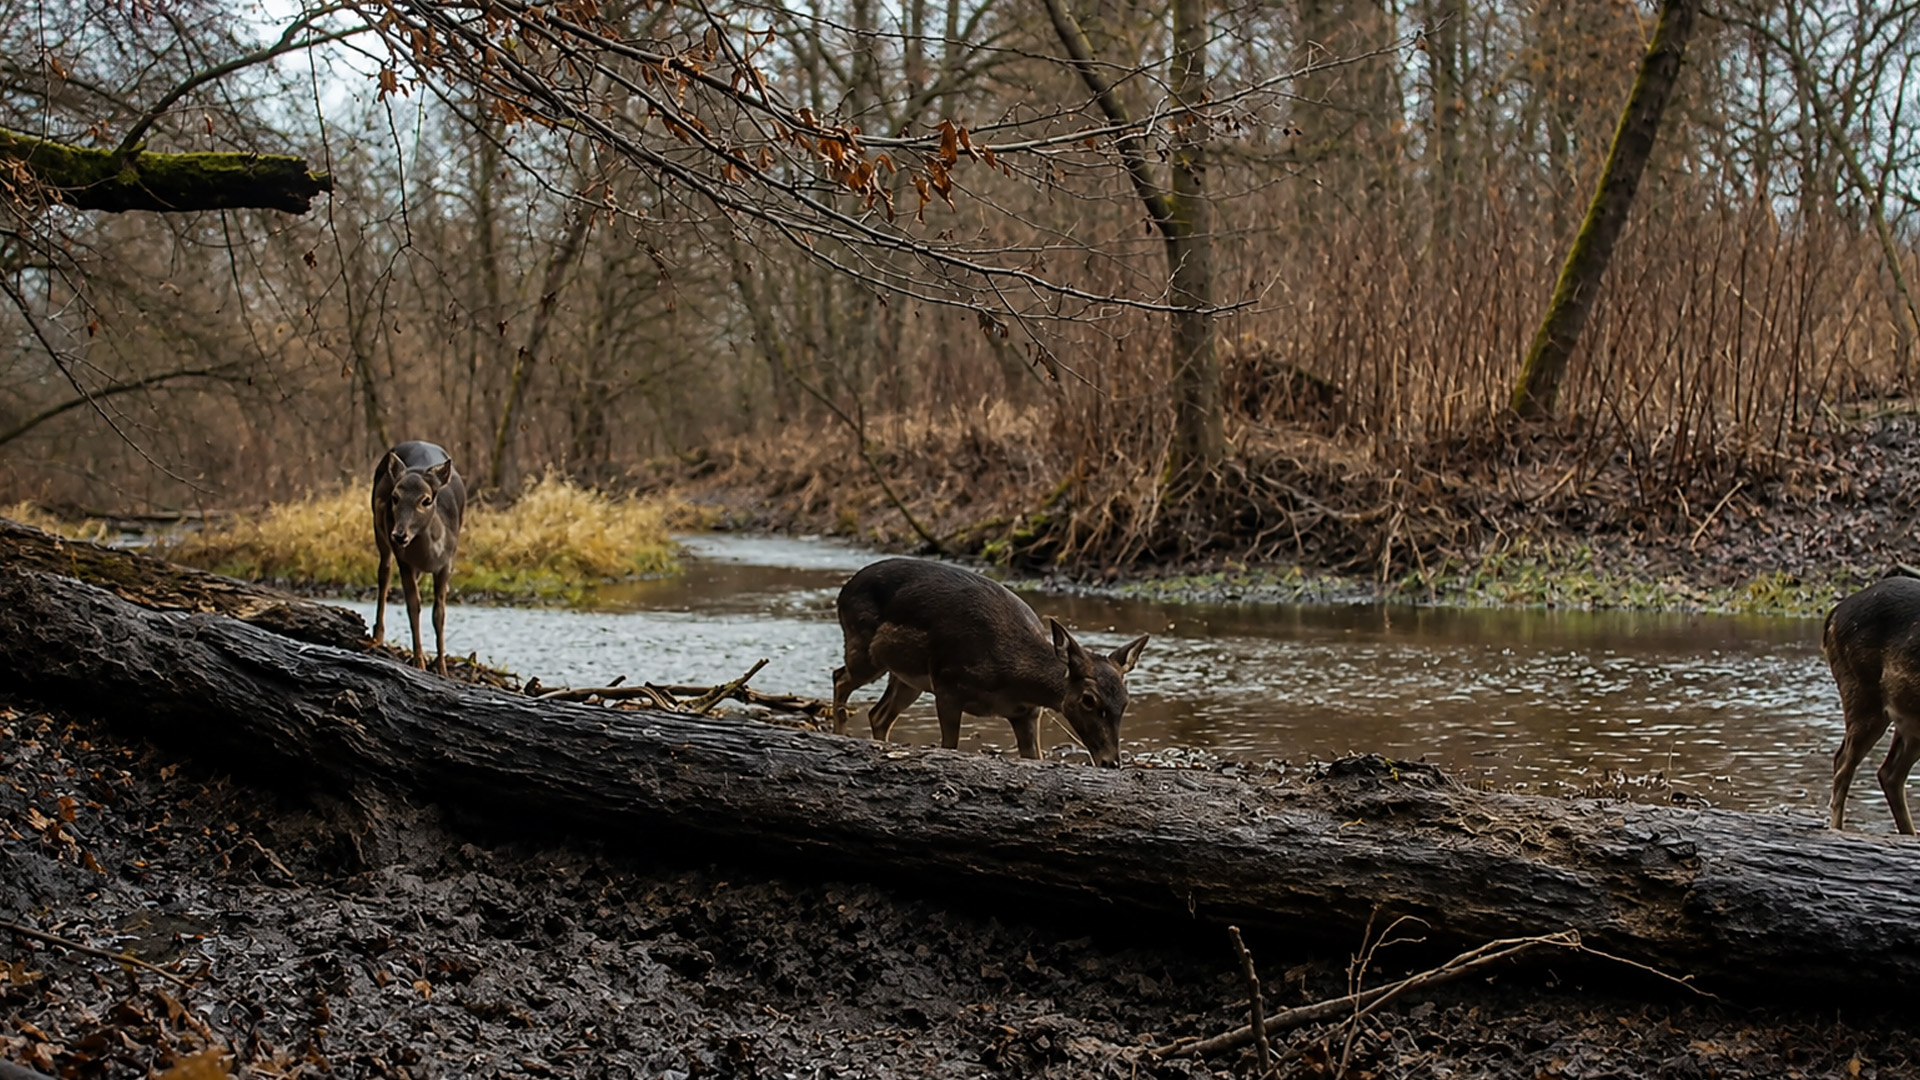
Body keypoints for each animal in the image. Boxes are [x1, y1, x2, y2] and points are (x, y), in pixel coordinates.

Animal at [371, 441, 467, 677]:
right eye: (395, 497)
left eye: (426, 500)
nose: (399, 535)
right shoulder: (405, 562)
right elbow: (413, 607)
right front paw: (419, 662)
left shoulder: (446, 564)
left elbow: (439, 614)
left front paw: (442, 669)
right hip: (379, 532)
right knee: (384, 573)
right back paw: (377, 636)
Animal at [831, 557, 1150, 766]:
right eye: (1088, 699)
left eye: (1126, 701)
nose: (1111, 762)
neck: (1010, 677)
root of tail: (843, 590)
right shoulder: (947, 684)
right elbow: (950, 746)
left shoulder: (1027, 714)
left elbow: (1034, 757)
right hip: (864, 649)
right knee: (840, 677)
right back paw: (838, 737)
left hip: (908, 678)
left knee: (878, 713)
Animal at [1825, 572, 1920, 833]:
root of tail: (1833, 614)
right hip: (1861, 693)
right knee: (1843, 763)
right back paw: (1837, 830)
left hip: (1908, 719)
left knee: (1889, 773)